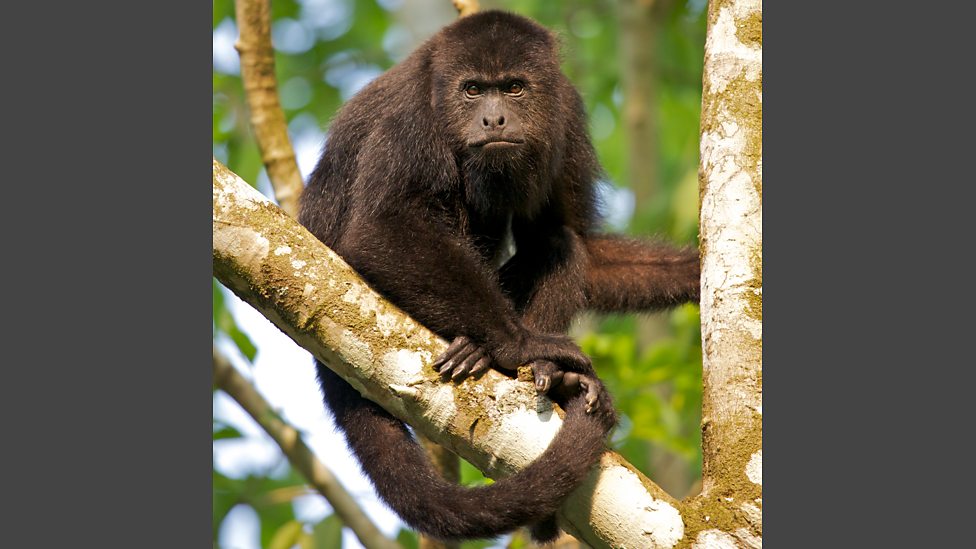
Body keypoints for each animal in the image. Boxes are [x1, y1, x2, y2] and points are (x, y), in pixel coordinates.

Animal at [298, 10, 700, 544]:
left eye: (513, 88)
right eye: (472, 90)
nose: (493, 119)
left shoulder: (565, 111)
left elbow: (581, 243)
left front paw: (697, 271)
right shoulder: (410, 116)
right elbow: (381, 229)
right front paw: (520, 344)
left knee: (557, 242)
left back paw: (553, 379)